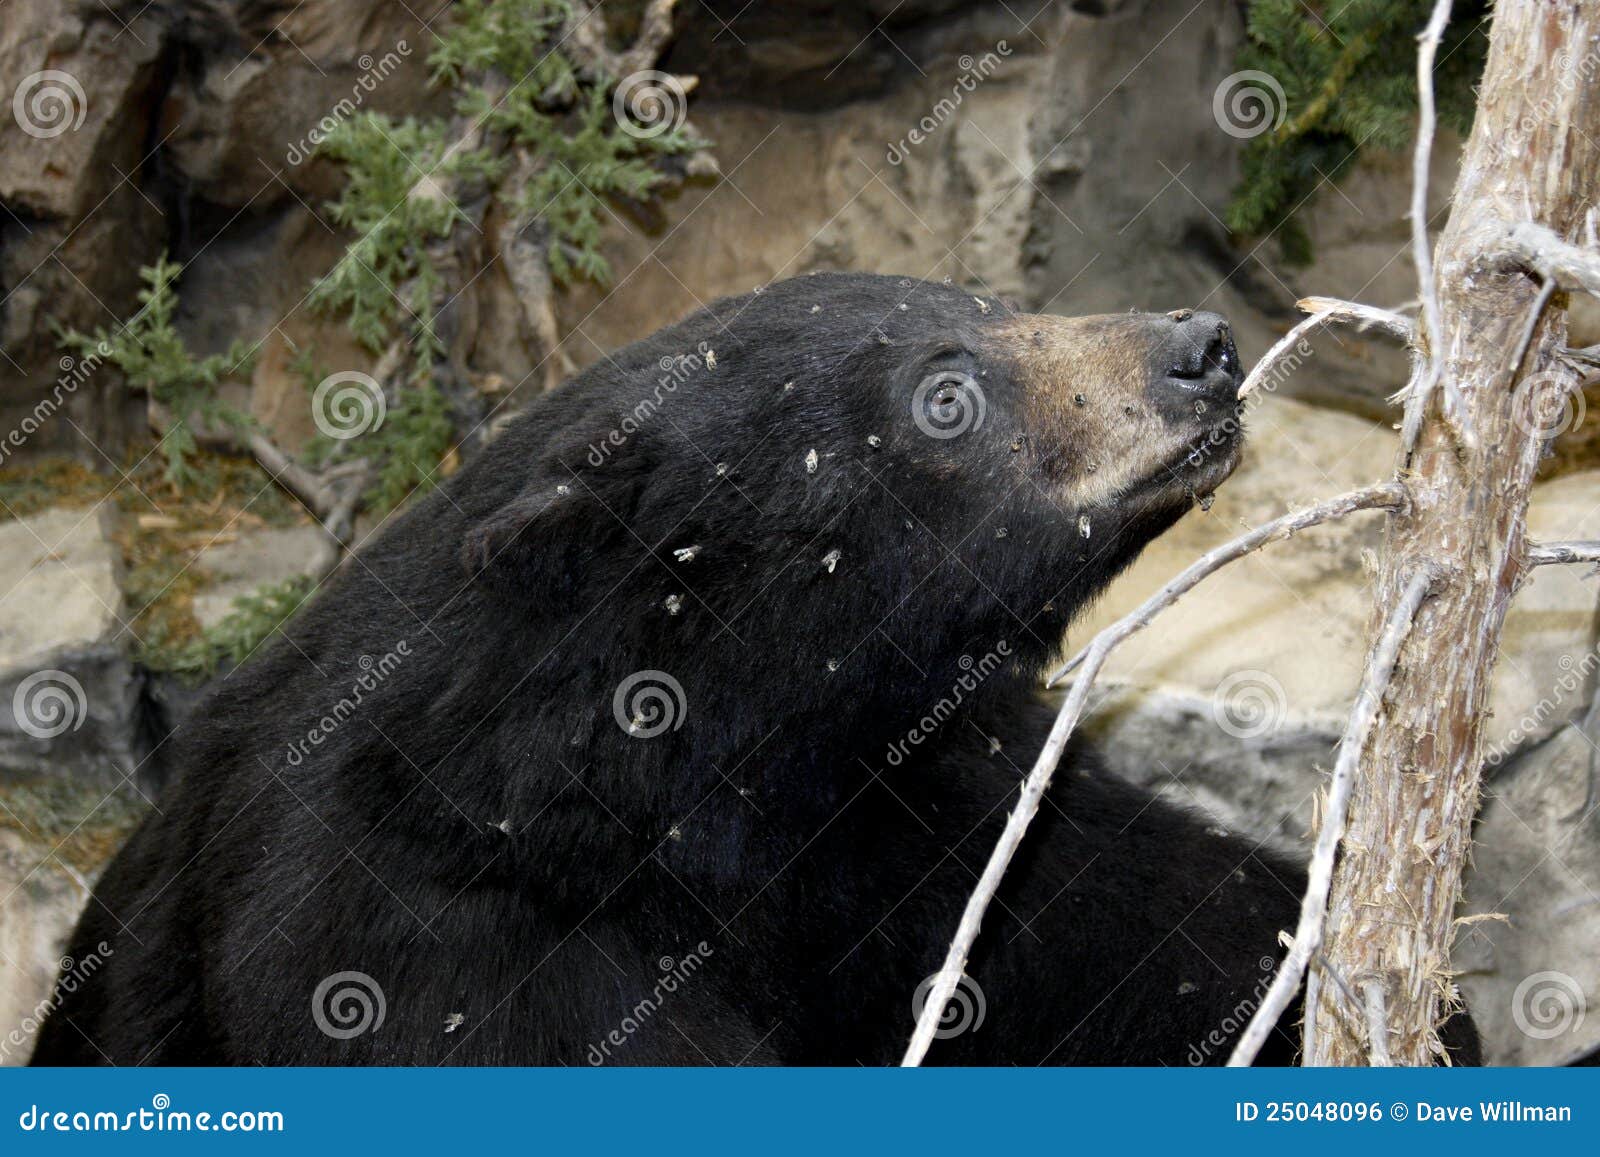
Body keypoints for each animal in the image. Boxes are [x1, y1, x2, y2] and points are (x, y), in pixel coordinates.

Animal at [32, 271, 1476, 1066]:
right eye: (946, 390)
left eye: (995, 301)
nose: (1201, 348)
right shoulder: (419, 948)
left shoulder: (903, 811)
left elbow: (1141, 914)